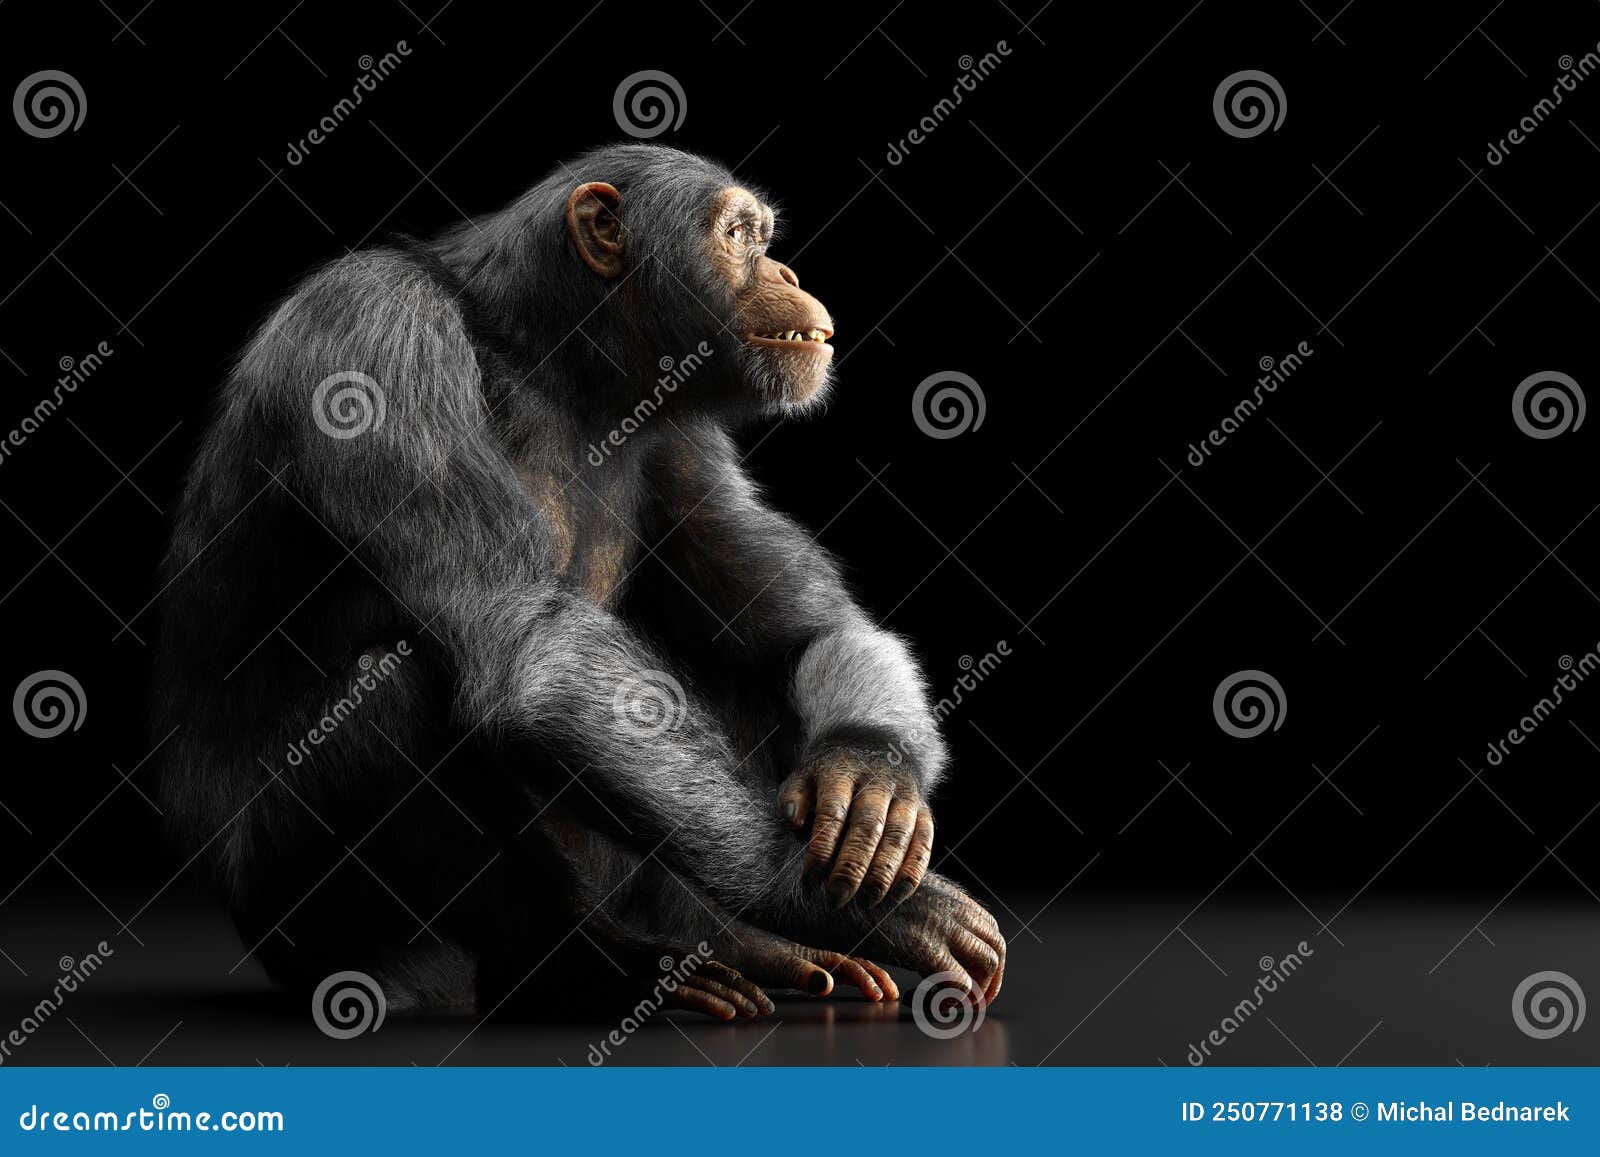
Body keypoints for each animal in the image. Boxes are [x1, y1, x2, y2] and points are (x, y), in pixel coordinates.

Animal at [151, 144, 1005, 1023]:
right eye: (738, 235)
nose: (788, 268)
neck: (549, 358)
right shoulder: (374, 336)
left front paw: (871, 776)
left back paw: (734, 941)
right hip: (310, 927)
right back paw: (590, 966)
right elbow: (534, 646)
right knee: (392, 691)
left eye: (762, 236)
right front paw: (843, 902)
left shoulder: (685, 440)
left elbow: (801, 626)